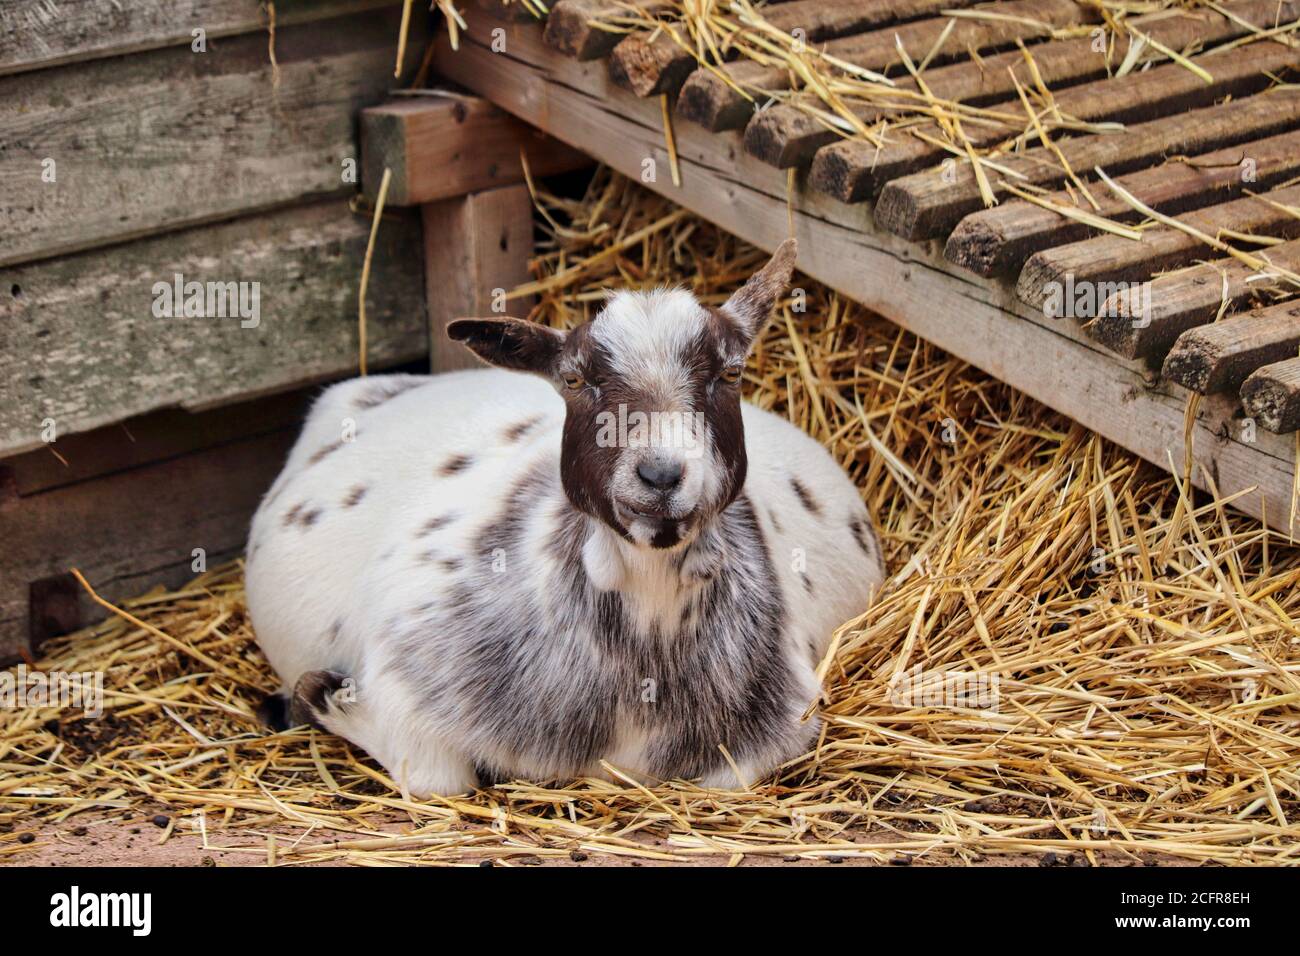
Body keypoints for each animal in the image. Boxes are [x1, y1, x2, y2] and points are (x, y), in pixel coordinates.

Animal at [245, 239, 884, 796]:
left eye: (730, 373)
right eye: (575, 380)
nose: (660, 474)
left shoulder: (779, 722)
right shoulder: (410, 666)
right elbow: (435, 776)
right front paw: (319, 696)